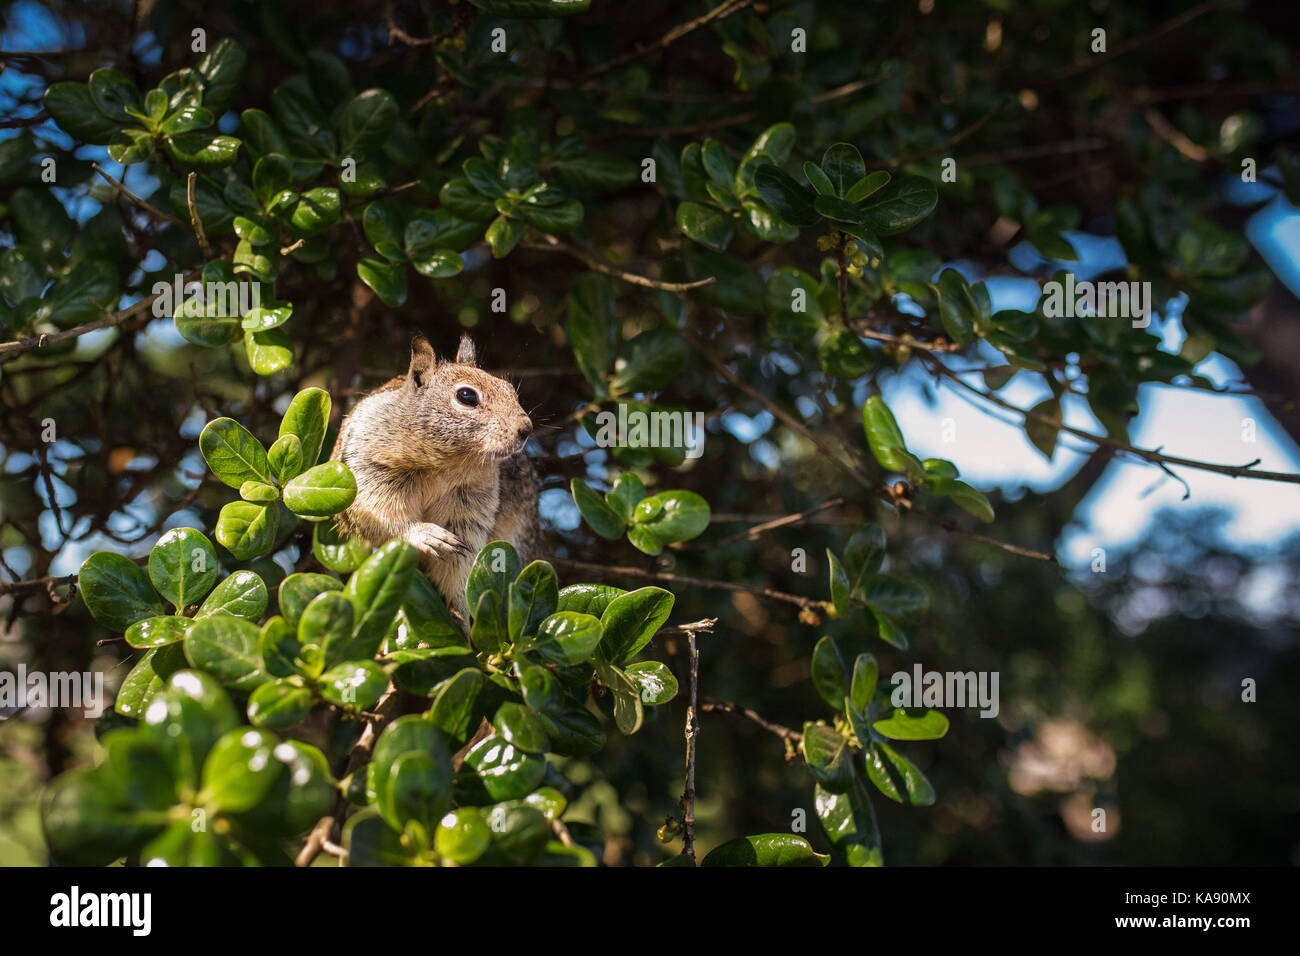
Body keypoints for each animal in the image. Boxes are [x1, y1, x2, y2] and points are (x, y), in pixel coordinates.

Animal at [329, 333, 542, 622]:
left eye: (509, 388)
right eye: (466, 396)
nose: (526, 429)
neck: (443, 466)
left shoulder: (470, 507)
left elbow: (459, 565)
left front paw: (460, 616)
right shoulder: (368, 471)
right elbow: (382, 516)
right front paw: (424, 534)